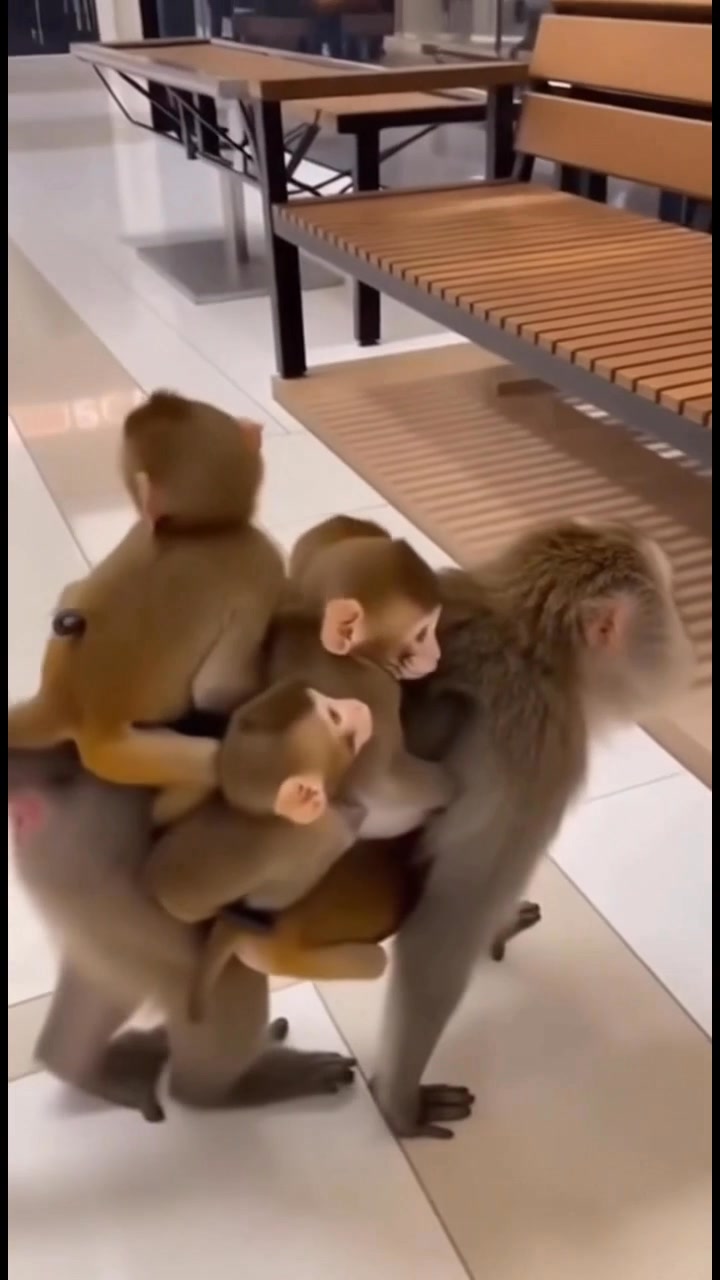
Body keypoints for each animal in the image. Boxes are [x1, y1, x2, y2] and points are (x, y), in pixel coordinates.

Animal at [6, 391, 285, 801]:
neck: (193, 531)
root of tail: (57, 705)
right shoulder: (262, 568)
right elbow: (215, 689)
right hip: (113, 751)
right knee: (209, 758)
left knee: (74, 591)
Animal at [371, 519, 694, 1139]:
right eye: (667, 596)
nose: (687, 629)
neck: (531, 647)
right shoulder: (544, 752)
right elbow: (446, 924)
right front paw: (398, 1104)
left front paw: (501, 924)